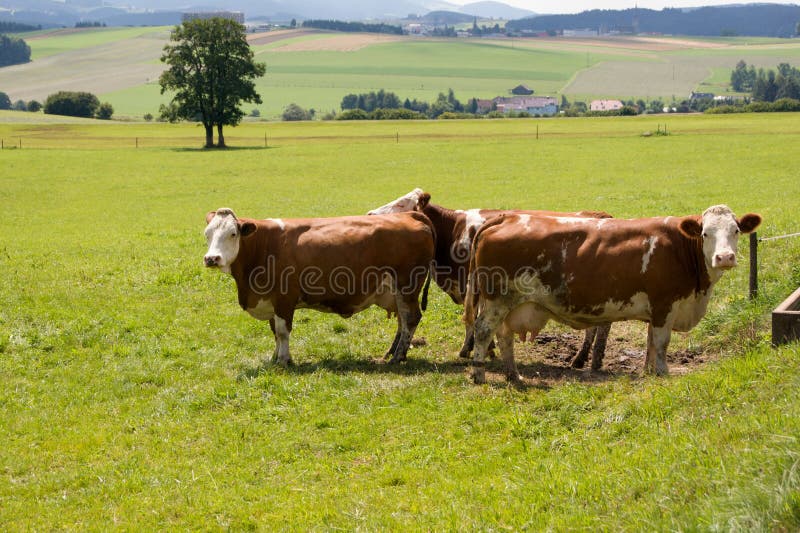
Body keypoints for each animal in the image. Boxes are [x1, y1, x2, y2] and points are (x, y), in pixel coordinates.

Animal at [203, 208, 435, 365]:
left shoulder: (284, 299)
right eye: (207, 234)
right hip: (398, 293)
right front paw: (275, 357)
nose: (211, 258)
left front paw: (284, 360)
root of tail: (410, 215)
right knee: (403, 320)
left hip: (407, 287)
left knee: (410, 318)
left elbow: (282, 331)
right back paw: (395, 353)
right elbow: (274, 332)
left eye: (233, 234)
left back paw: (396, 357)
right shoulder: (270, 300)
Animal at [368, 188, 612, 370]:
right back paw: (584, 359)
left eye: (402, 204)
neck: (455, 231)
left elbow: (473, 319)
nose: (370, 214)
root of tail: (601, 215)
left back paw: (586, 358)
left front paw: (474, 348)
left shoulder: (472, 284)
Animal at [464, 205, 762, 384]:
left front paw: (648, 372)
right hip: (497, 300)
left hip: (510, 305)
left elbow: (651, 343)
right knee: (483, 330)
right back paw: (480, 374)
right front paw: (663, 373)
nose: (725, 257)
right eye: (705, 233)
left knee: (503, 336)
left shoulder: (656, 310)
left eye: (736, 230)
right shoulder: (665, 305)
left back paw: (514, 375)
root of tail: (505, 217)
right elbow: (662, 343)